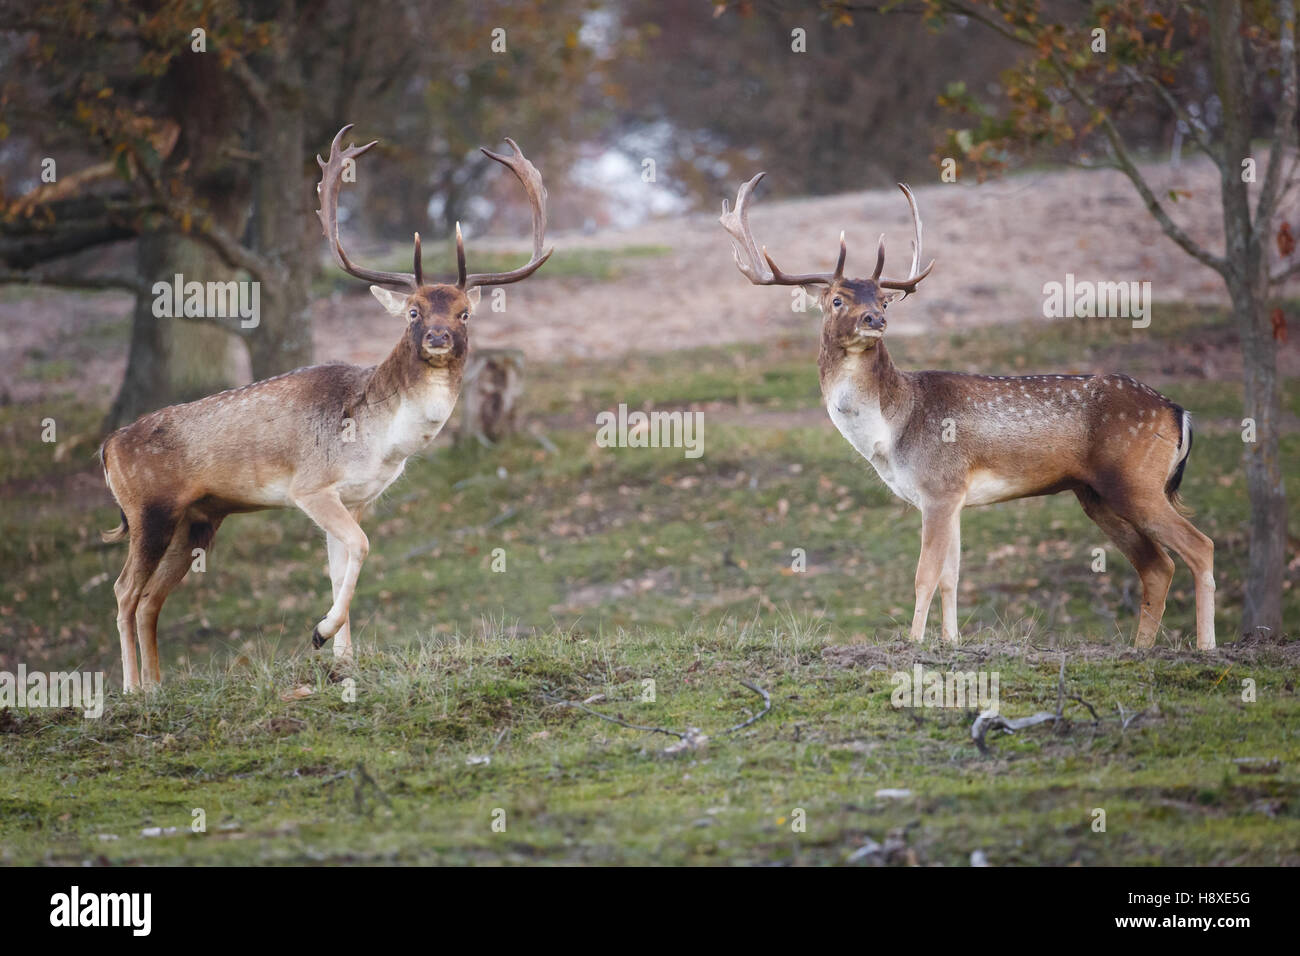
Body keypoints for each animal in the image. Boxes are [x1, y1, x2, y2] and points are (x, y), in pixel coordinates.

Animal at [99, 124, 552, 690]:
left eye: (465, 312)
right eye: (413, 310)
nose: (439, 337)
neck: (380, 442)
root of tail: (107, 447)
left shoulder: (355, 499)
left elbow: (342, 565)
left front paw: (344, 661)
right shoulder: (310, 487)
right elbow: (360, 547)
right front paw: (319, 633)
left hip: (197, 519)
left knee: (150, 598)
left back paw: (157, 686)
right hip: (148, 509)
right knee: (123, 591)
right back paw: (132, 689)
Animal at [720, 174, 1216, 651]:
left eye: (882, 298)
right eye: (838, 299)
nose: (875, 320)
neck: (891, 430)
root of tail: (1178, 412)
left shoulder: (939, 485)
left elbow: (924, 575)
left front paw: (913, 641)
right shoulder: (953, 495)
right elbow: (951, 578)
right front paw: (951, 640)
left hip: (1135, 480)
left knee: (1200, 546)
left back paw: (1205, 647)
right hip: (1095, 493)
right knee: (1157, 565)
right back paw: (1142, 648)